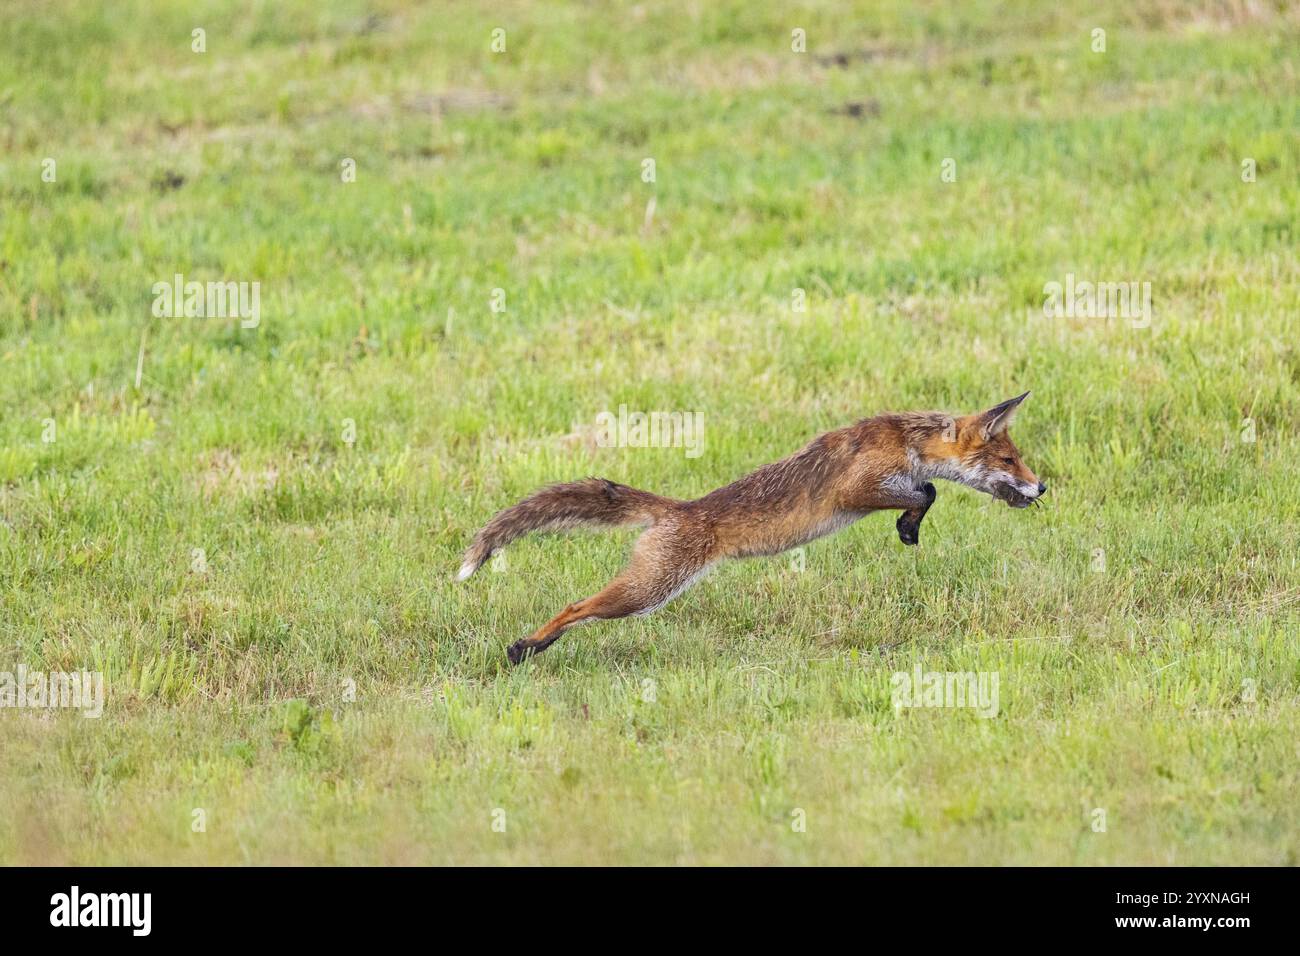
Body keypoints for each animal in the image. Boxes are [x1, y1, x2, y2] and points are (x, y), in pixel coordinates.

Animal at [459, 392, 1046, 664]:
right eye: (1010, 461)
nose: (1042, 488)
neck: (907, 440)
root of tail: (680, 508)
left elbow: (927, 491)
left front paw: (908, 528)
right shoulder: (856, 490)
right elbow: (929, 490)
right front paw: (908, 526)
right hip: (649, 590)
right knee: (575, 605)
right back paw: (526, 646)